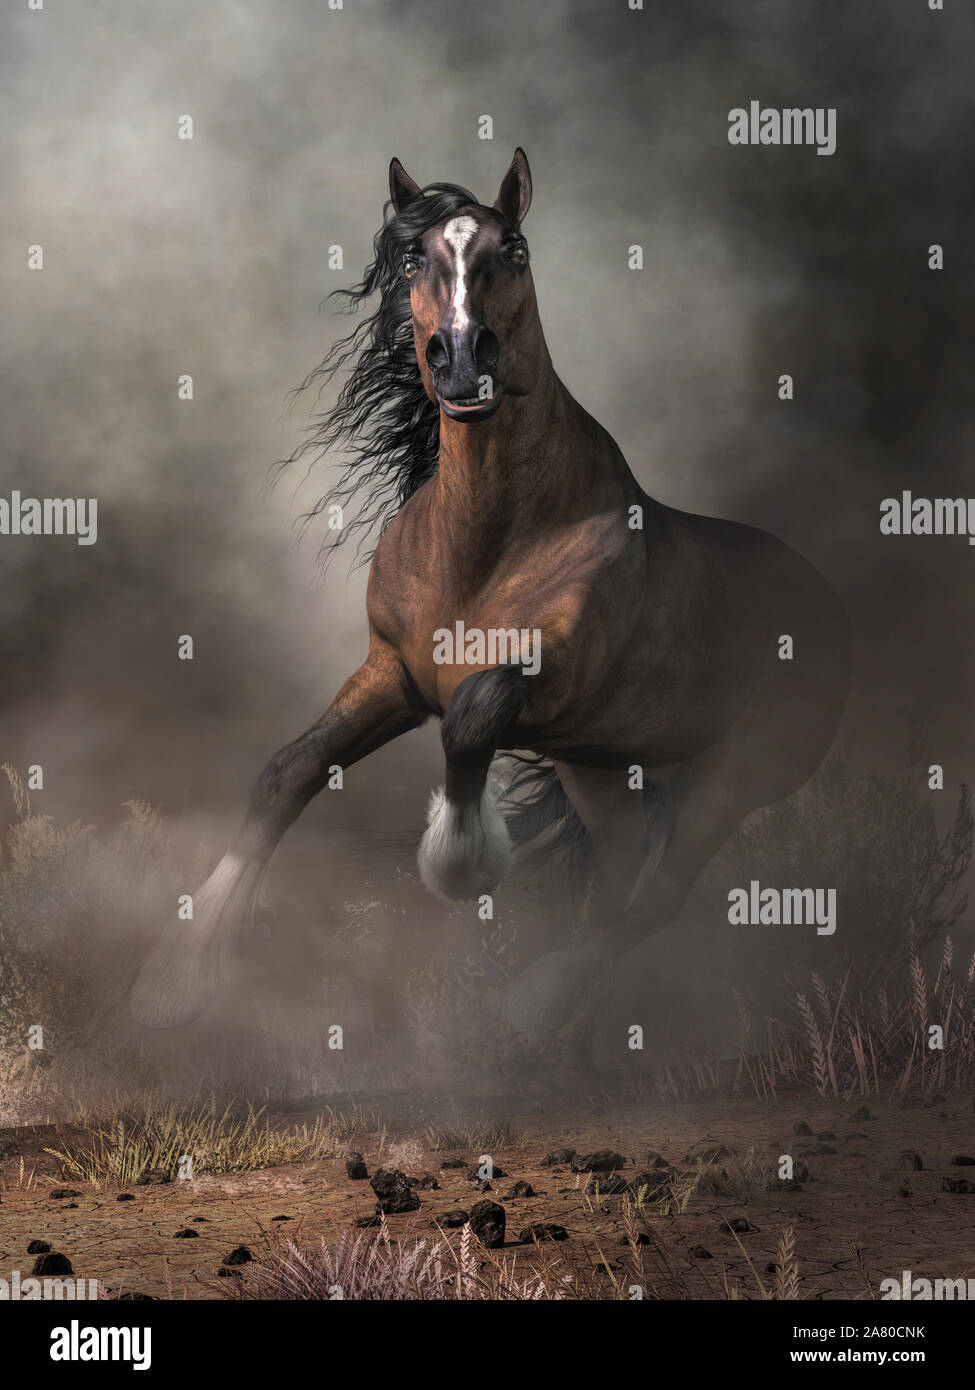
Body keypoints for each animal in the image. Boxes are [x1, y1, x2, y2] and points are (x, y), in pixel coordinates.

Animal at [129, 148, 850, 1036]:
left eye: (516, 250)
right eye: (412, 258)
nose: (462, 359)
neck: (484, 547)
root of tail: (822, 595)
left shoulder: (544, 680)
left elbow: (471, 720)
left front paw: (461, 861)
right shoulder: (393, 675)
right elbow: (288, 772)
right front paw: (175, 977)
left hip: (737, 774)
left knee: (657, 897)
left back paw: (533, 1006)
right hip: (600, 769)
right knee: (620, 880)